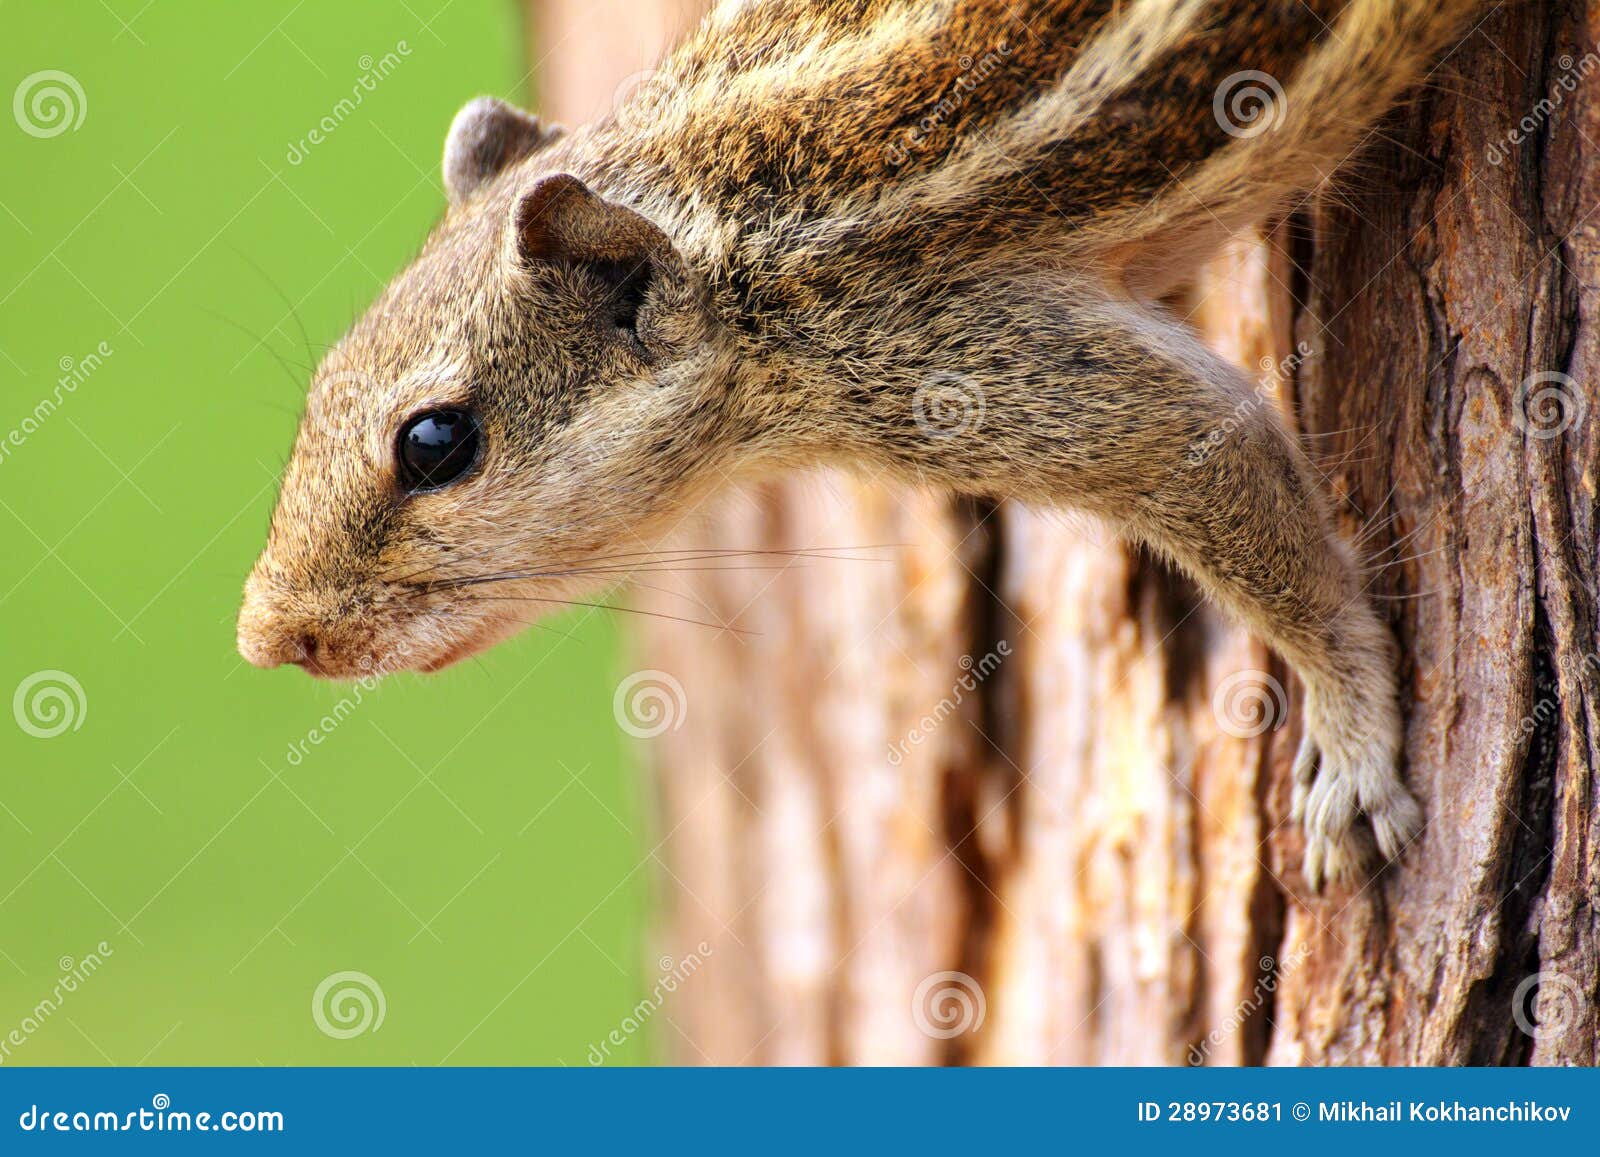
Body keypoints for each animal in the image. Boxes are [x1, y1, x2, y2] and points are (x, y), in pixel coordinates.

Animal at [238, 0, 1491, 888]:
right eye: (323, 381)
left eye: (435, 441)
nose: (265, 634)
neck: (731, 233)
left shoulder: (974, 369)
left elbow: (1247, 500)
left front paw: (1352, 751)